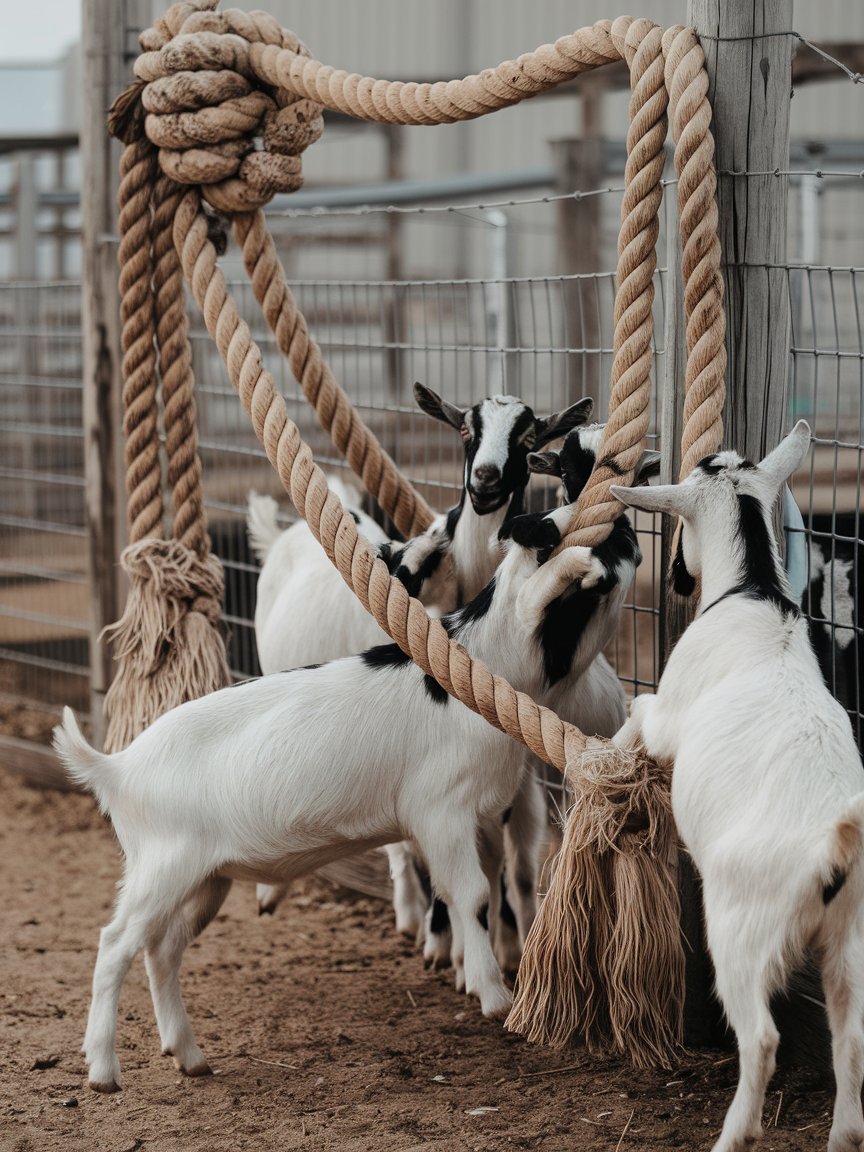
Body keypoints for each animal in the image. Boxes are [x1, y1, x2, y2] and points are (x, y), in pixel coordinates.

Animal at [55, 498, 614, 1095]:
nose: (616, 548)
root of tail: (117, 769)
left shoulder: (477, 812)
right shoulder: (439, 808)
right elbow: (473, 894)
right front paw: (497, 1001)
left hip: (207, 879)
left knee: (162, 950)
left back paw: (192, 1059)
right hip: (161, 866)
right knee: (114, 942)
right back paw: (104, 1074)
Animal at [608, 421, 864, 1152]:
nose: (676, 574)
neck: (752, 590)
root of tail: (836, 847)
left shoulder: (670, 716)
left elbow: (640, 713)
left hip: (741, 929)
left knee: (764, 1039)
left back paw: (735, 1136)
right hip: (850, 938)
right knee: (851, 1038)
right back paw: (844, 1136)